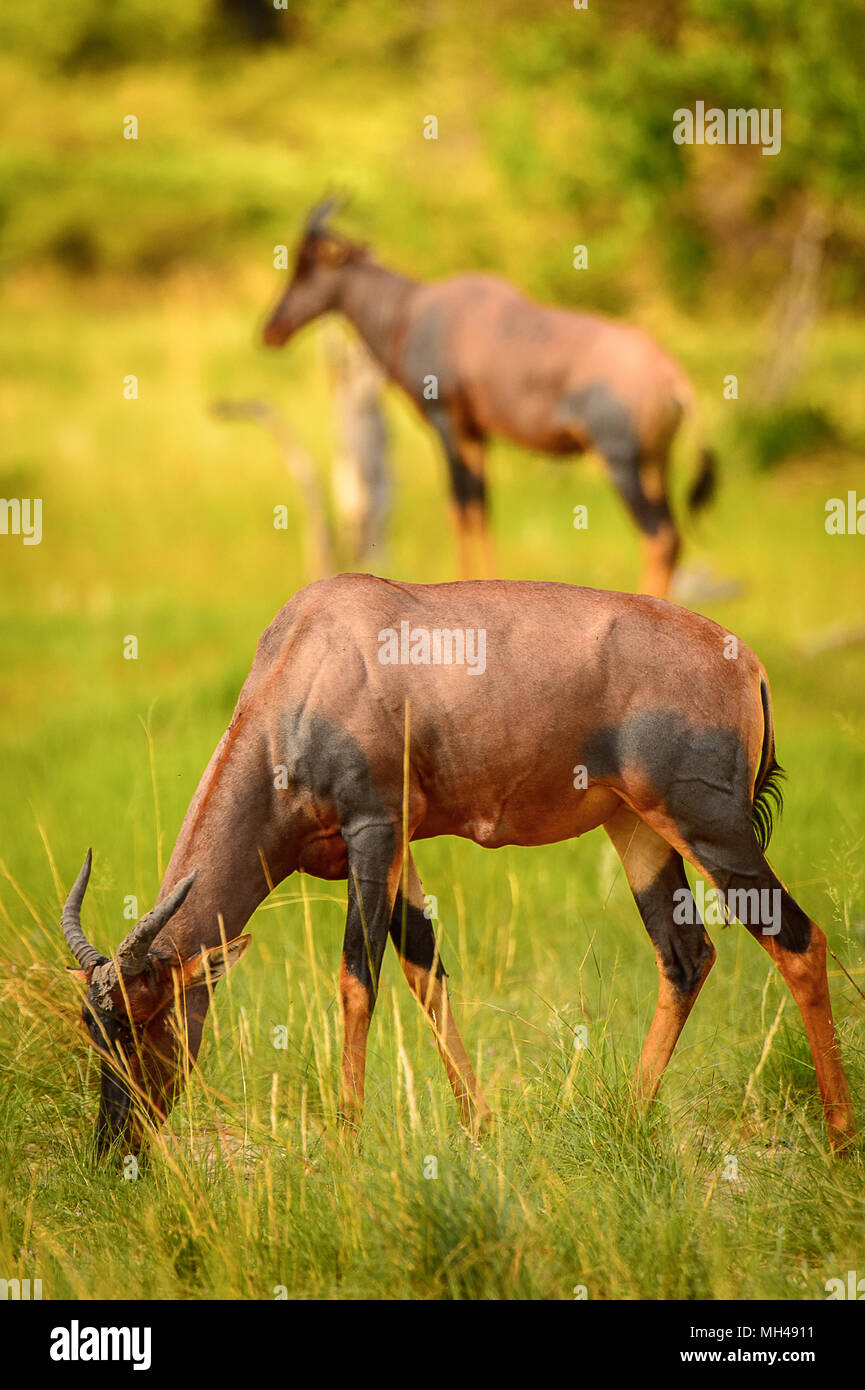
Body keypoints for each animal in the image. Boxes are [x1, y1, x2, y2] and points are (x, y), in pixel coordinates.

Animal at [63, 574, 854, 1156]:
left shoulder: (374, 829)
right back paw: (629, 1120)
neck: (310, 660)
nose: (113, 1149)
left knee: (798, 941)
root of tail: (746, 662)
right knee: (685, 957)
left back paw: (840, 1137)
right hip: (638, 831)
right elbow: (424, 969)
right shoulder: (398, 849)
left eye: (146, 1016)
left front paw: (344, 1146)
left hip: (709, 826)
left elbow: (357, 978)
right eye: (91, 1026)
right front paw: (480, 1127)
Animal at [262, 201, 717, 598]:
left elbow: (459, 507)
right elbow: (482, 509)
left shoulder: (446, 422)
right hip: (656, 464)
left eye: (307, 264)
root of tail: (670, 374)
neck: (416, 309)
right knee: (673, 539)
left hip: (621, 462)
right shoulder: (476, 432)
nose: (272, 330)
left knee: (659, 538)